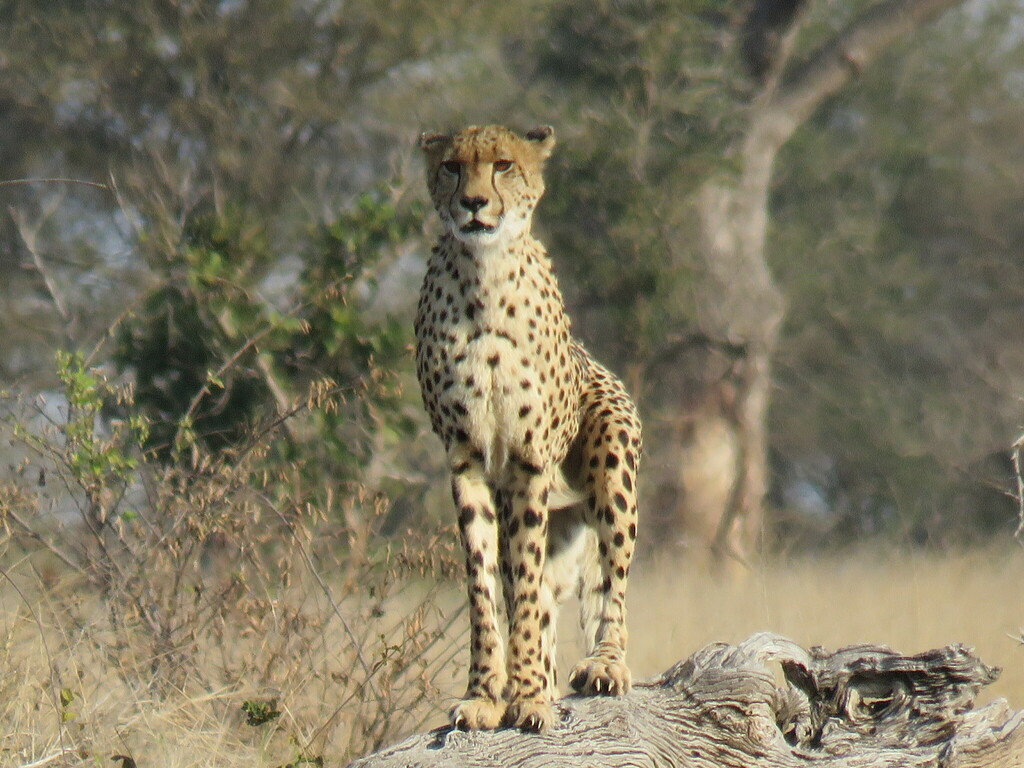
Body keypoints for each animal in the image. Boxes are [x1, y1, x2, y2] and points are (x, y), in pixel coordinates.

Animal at [415, 124, 642, 733]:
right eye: (451, 166)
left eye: (503, 165)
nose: (473, 203)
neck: (482, 275)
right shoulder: (466, 459)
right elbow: (485, 586)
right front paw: (485, 694)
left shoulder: (528, 459)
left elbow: (524, 580)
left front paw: (530, 697)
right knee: (535, 594)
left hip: (609, 463)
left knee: (610, 581)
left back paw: (604, 666)